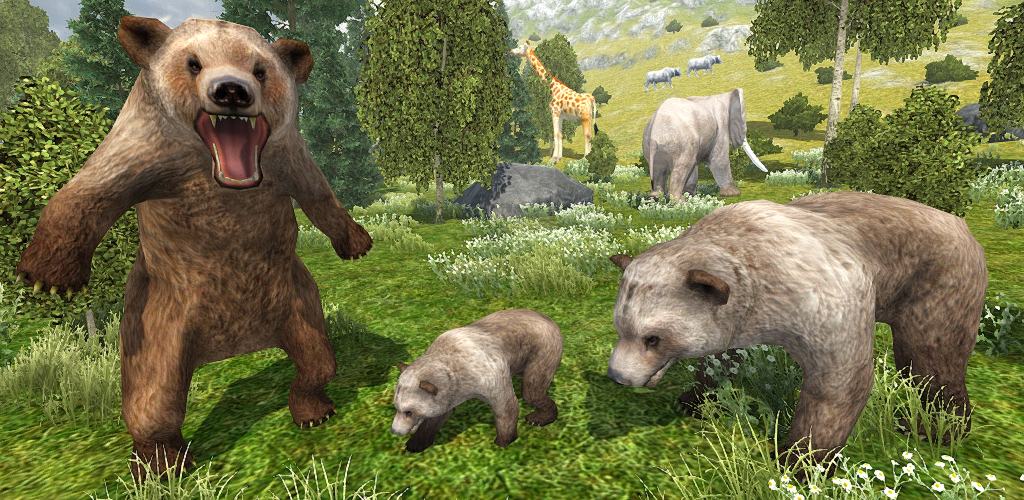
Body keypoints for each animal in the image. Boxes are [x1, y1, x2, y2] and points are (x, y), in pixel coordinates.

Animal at [14, 17, 372, 482]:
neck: (222, 177)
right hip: (159, 324)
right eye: (193, 63)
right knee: (152, 401)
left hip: (293, 300)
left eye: (261, 70)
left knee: (317, 358)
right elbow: (93, 187)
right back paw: (163, 465)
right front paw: (50, 277)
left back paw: (315, 411)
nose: (231, 91)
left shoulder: (286, 156)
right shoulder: (148, 150)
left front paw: (356, 242)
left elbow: (320, 194)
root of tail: (232, 345)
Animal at [391, 309, 563, 452]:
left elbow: (506, 406)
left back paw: (537, 418)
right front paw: (415, 444)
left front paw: (502, 441)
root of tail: (548, 318)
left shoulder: (487, 374)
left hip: (542, 350)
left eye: (409, 411)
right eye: (396, 407)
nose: (395, 431)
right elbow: (436, 418)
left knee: (532, 389)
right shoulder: (449, 393)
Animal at [606, 191, 987, 477]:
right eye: (620, 327)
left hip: (939, 283)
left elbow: (838, 382)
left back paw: (936, 429)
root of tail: (962, 224)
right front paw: (695, 399)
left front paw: (800, 463)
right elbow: (720, 360)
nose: (618, 377)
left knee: (932, 356)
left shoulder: (824, 299)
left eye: (653, 337)